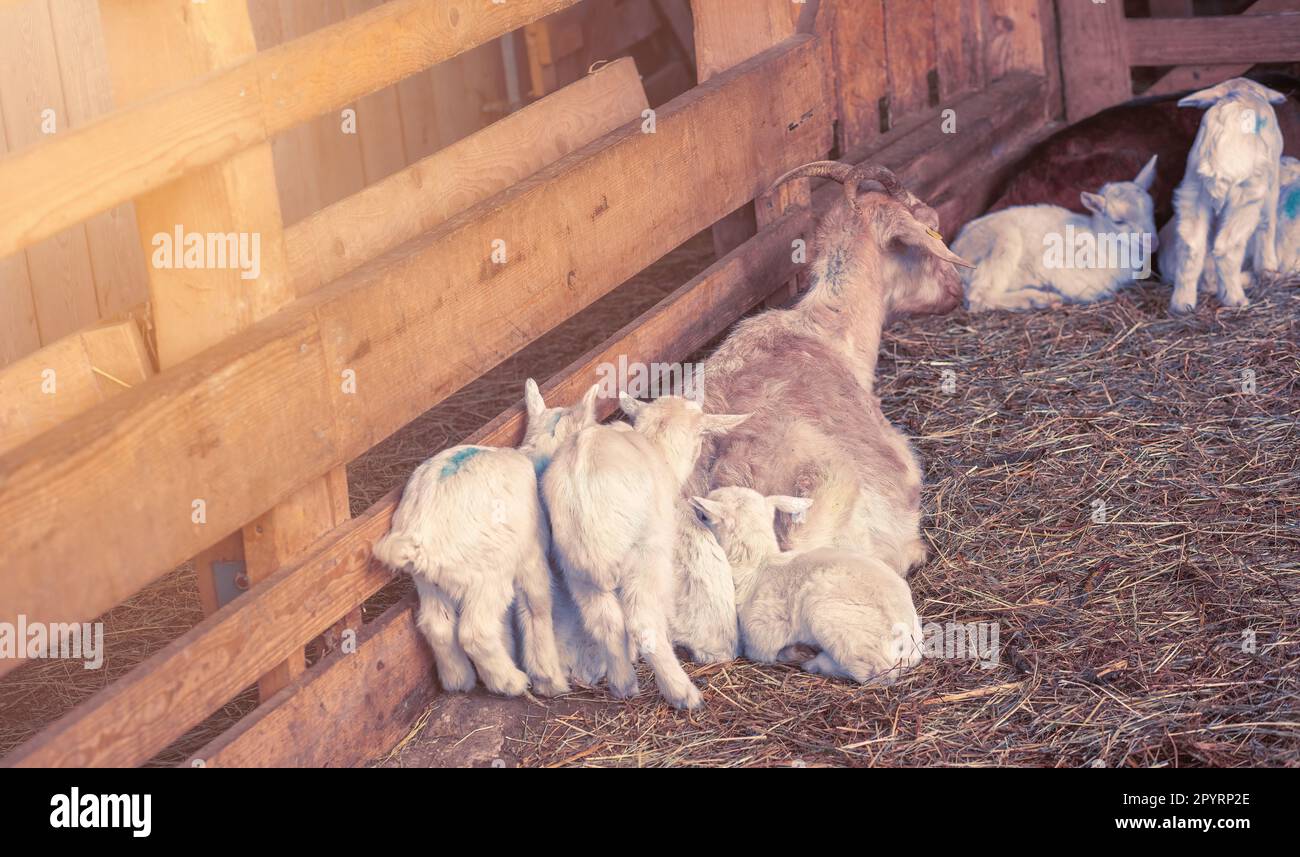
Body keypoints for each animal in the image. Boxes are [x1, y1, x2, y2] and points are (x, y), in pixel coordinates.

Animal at [372, 380, 598, 697]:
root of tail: (418, 538)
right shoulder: (530, 560)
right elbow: (538, 607)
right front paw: (549, 679)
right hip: (488, 574)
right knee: (474, 633)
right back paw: (510, 682)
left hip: (429, 583)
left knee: (437, 626)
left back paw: (460, 681)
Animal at [542, 394, 747, 709]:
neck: (656, 447)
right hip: (644, 554)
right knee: (643, 623)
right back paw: (683, 693)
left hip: (576, 568)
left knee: (605, 622)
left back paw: (624, 683)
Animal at [691, 488, 923, 684]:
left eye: (704, 516)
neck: (758, 566)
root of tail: (908, 644)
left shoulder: (760, 639)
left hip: (830, 618)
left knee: (876, 673)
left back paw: (813, 661)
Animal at [952, 157, 1158, 312]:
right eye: (1118, 221)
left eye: (1151, 209)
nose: (1154, 242)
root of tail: (956, 249)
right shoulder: (1064, 273)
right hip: (1002, 241)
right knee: (978, 296)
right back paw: (1037, 299)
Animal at [1160, 78, 1286, 314]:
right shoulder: (1271, 180)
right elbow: (1267, 222)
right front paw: (1269, 268)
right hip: (1244, 197)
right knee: (1226, 249)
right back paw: (1237, 297)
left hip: (1192, 190)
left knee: (1191, 245)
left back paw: (1182, 304)